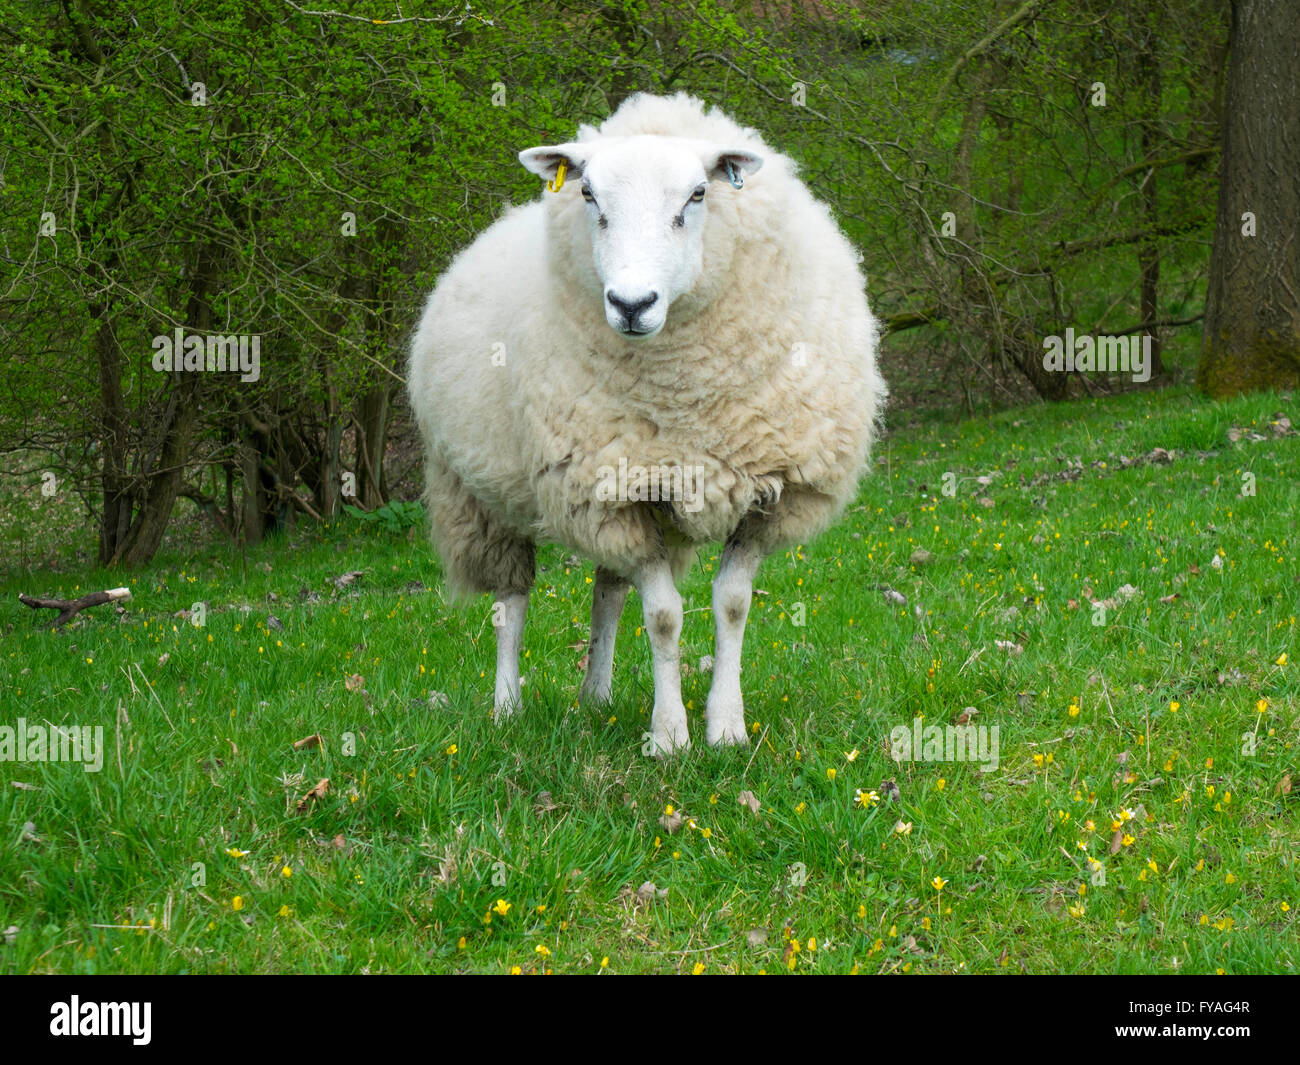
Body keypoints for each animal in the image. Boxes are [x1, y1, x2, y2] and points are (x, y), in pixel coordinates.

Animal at [407, 92, 886, 755]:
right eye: (588, 195)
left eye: (698, 194)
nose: (632, 305)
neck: (687, 399)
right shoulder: (613, 496)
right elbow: (662, 617)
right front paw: (669, 736)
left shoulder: (762, 493)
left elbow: (731, 605)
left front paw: (726, 726)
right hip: (480, 493)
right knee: (511, 601)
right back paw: (507, 706)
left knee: (607, 591)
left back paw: (596, 695)